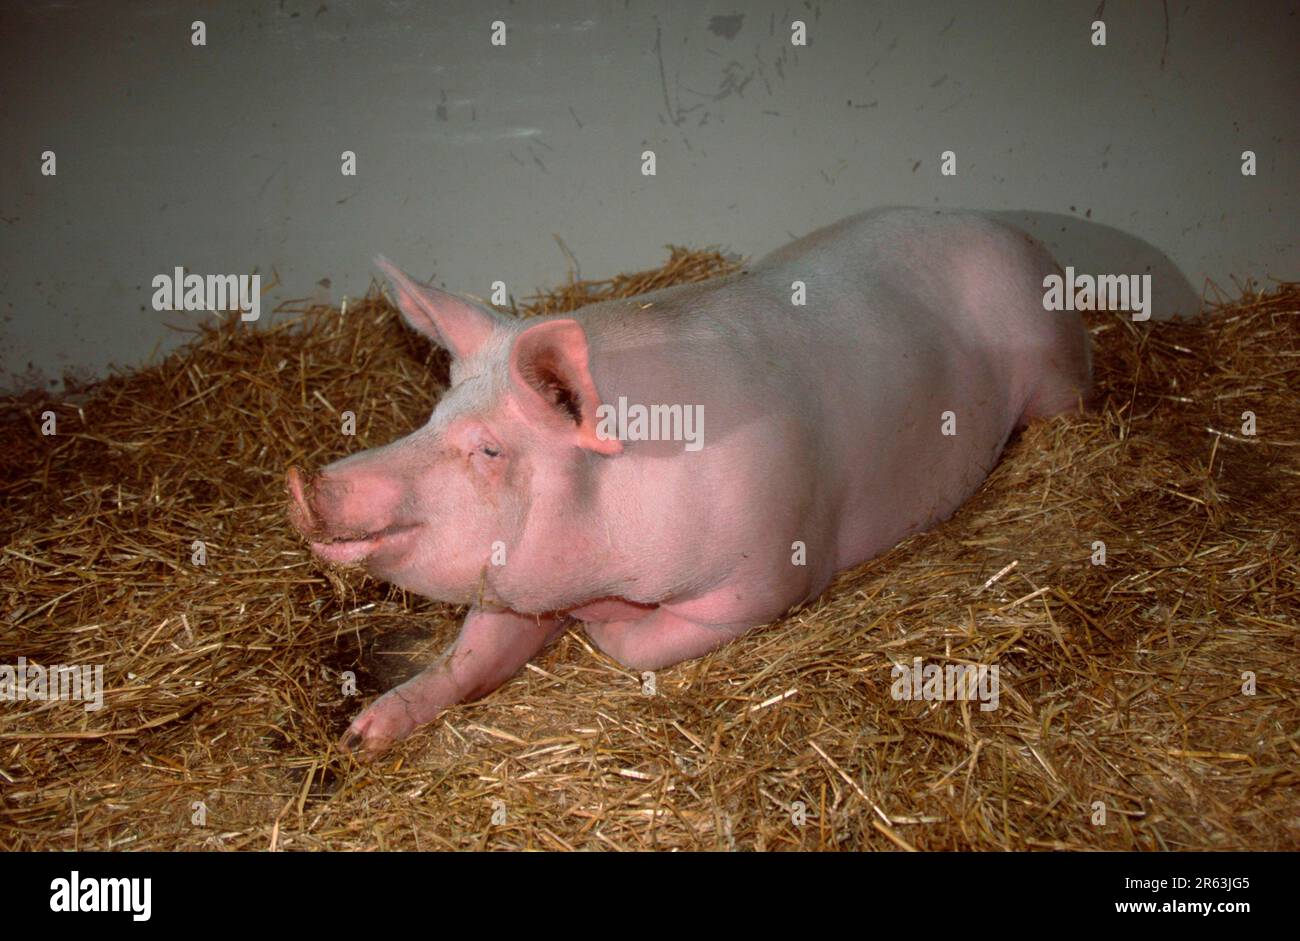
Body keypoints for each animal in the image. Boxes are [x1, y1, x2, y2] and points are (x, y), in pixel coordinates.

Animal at [287, 207, 1091, 758]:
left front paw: (606, 626)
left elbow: (635, 646)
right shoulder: (514, 582)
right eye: (431, 416)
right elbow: (471, 657)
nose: (303, 481)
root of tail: (1010, 228)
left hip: (1055, 371)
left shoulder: (767, 577)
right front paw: (362, 733)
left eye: (488, 449)